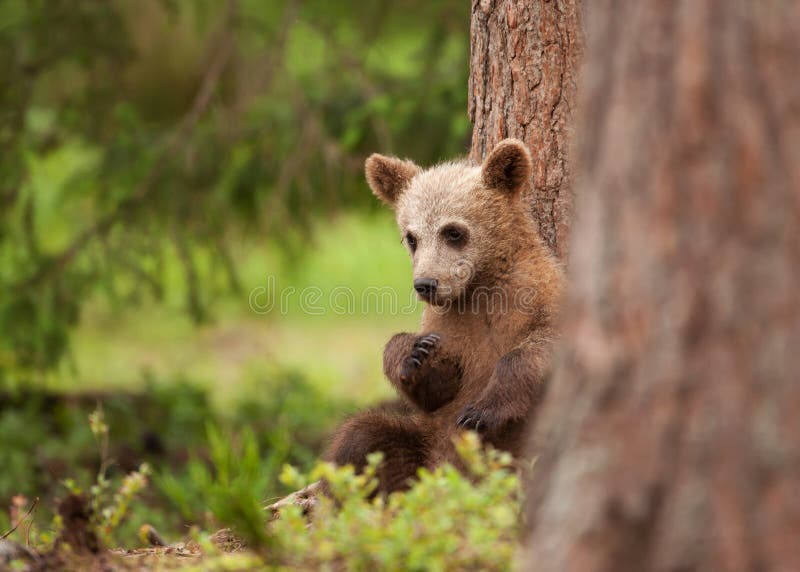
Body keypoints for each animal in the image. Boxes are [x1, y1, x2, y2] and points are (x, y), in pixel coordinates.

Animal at [324, 139, 565, 494]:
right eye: (411, 237)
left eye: (452, 231)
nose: (426, 284)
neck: (478, 287)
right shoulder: (450, 324)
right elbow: (433, 391)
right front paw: (417, 354)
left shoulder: (537, 296)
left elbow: (537, 348)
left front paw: (480, 411)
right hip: (423, 448)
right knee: (363, 439)